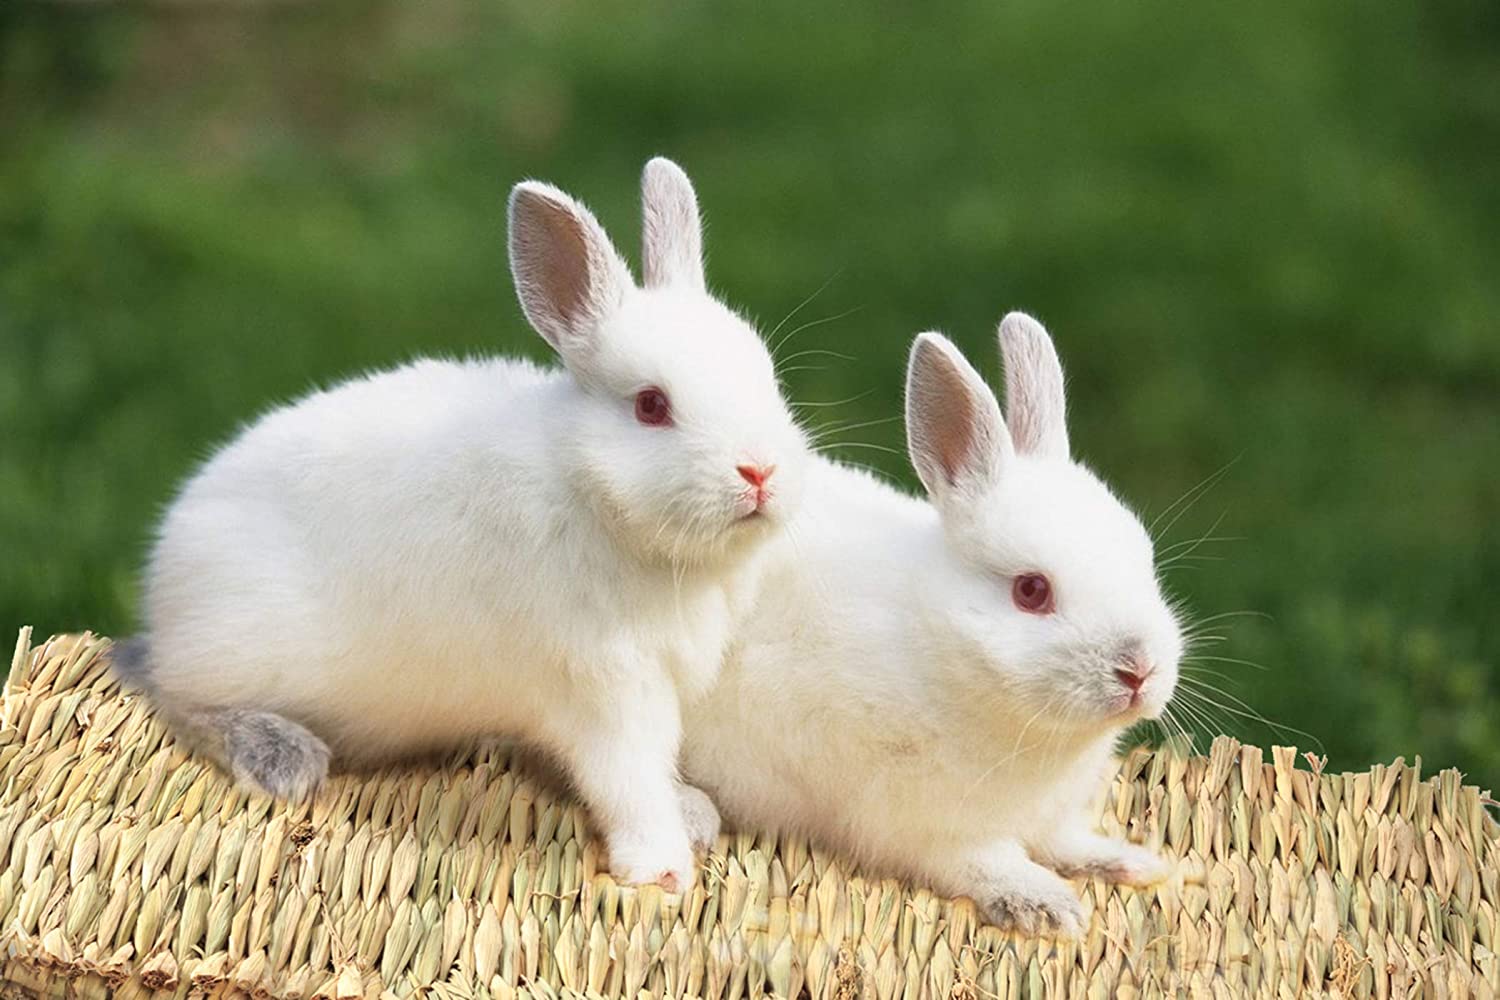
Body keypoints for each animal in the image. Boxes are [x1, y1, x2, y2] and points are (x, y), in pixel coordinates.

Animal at [117, 157, 810, 892]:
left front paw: (694, 812)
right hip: (231, 652)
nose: (760, 472)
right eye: (652, 406)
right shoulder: (605, 686)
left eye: (767, 378)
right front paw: (663, 868)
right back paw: (282, 755)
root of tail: (165, 580)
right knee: (175, 696)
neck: (591, 495)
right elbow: (628, 779)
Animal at [681, 313, 1181, 934]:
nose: (1139, 670)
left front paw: (1128, 862)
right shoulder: (920, 821)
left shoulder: (1050, 815)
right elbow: (982, 860)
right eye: (1031, 591)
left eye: (1144, 558)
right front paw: (1047, 906)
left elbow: (1064, 841)